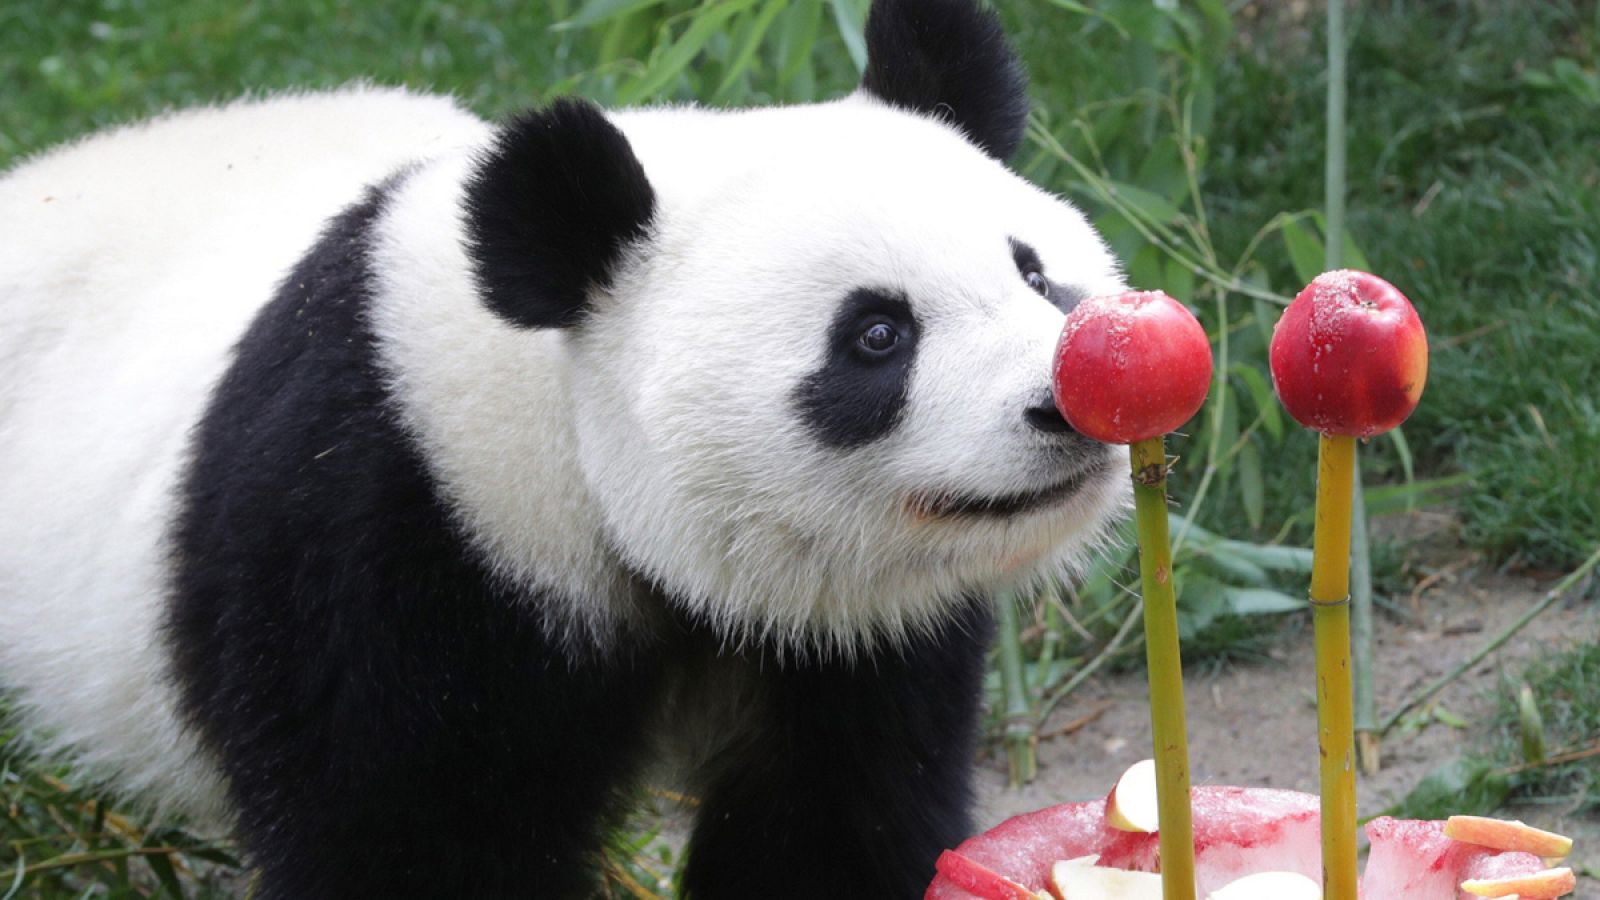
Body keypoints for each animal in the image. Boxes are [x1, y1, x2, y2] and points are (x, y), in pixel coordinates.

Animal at [0, 0, 1128, 896]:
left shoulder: (859, 638)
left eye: (1034, 273)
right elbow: (409, 837)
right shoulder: (386, 526)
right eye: (877, 335)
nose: (1063, 407)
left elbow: (835, 814)